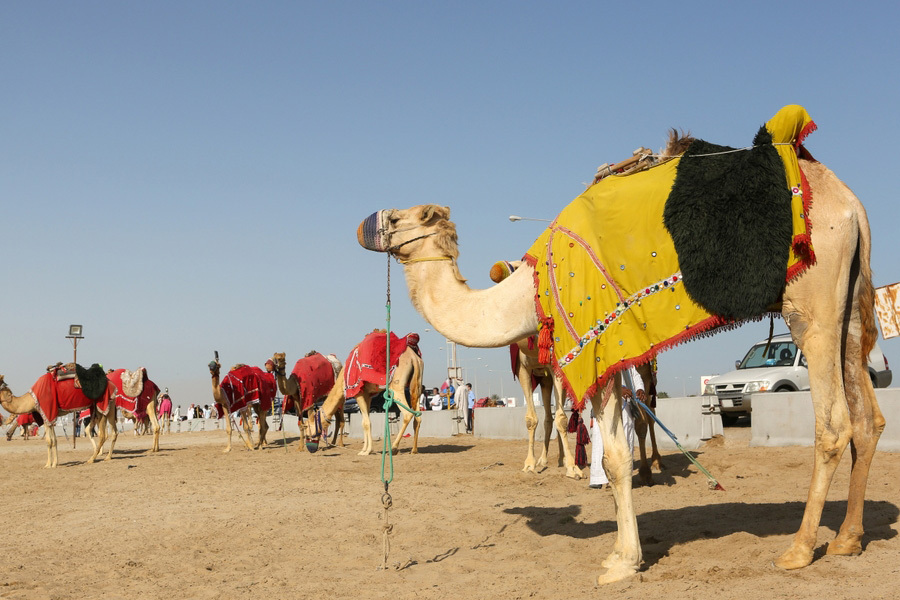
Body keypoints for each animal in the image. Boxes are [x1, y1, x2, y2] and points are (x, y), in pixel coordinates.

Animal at [359, 147, 884, 583]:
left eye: (401, 216)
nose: (366, 223)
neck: (529, 293)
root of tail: (849, 202)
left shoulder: (596, 342)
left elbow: (613, 457)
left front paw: (622, 564)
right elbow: (613, 449)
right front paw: (619, 551)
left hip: (811, 302)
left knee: (833, 423)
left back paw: (798, 549)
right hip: (849, 301)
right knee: (868, 419)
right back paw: (847, 540)